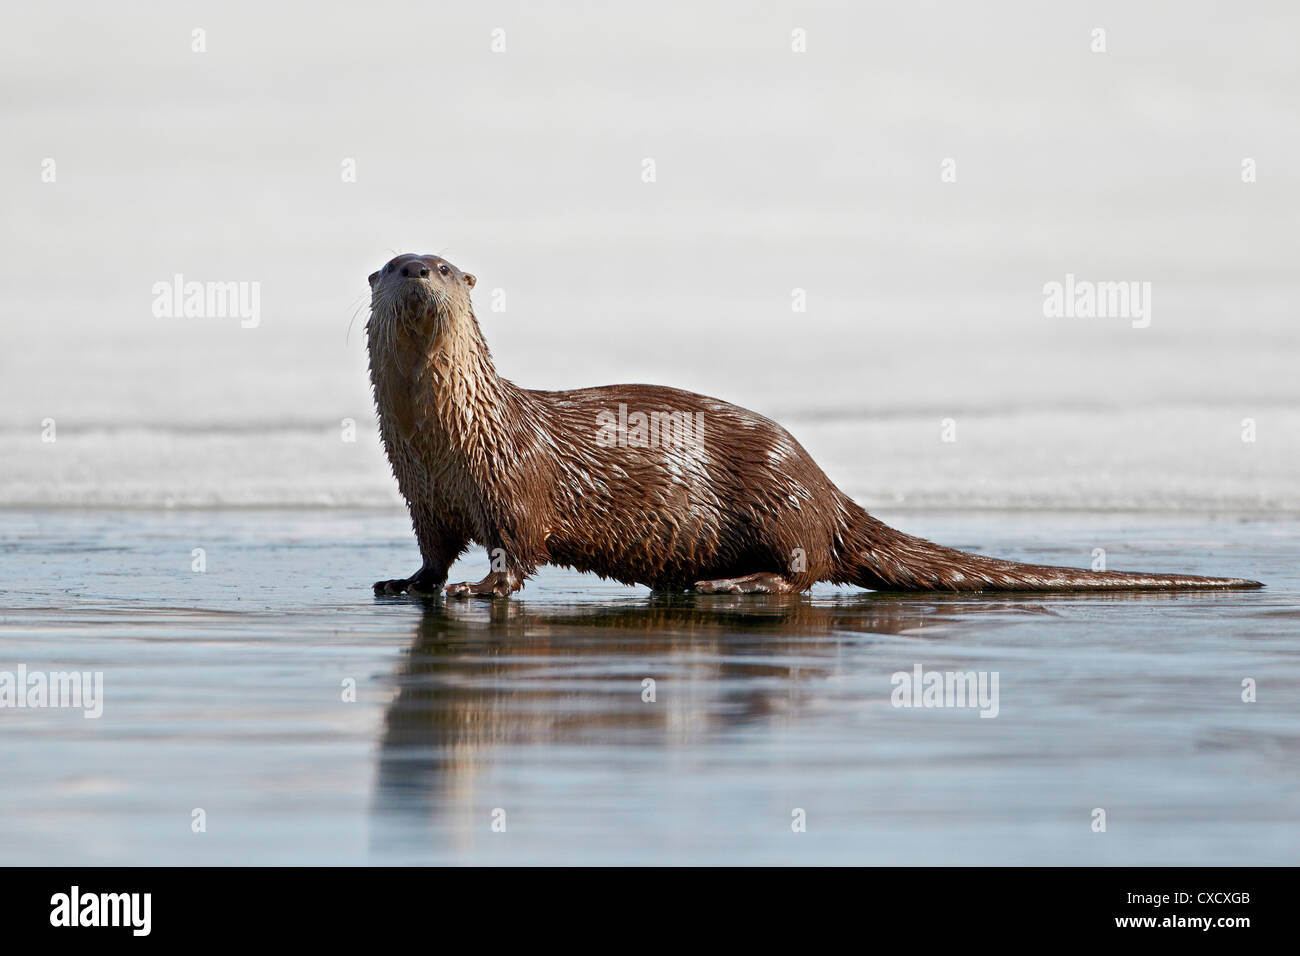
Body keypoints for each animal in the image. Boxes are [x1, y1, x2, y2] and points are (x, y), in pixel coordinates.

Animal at [366, 253, 1262, 597]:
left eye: (444, 267)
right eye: (398, 264)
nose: (420, 273)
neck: (451, 441)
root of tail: (828, 488)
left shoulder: (514, 485)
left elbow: (517, 551)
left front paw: (480, 591)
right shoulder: (422, 496)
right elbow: (431, 552)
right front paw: (405, 584)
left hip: (777, 500)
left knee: (804, 571)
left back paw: (734, 585)